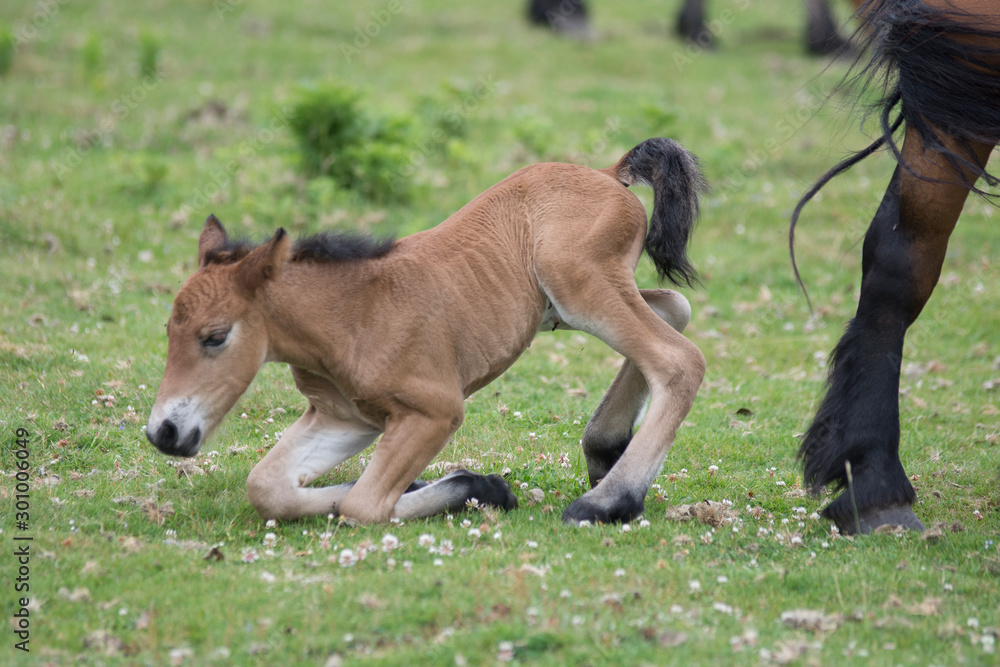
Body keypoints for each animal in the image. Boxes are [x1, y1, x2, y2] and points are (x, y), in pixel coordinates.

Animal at [145, 138, 708, 526]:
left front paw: (482, 487)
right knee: (673, 306)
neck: (350, 317)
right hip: (567, 307)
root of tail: (609, 173)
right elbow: (269, 487)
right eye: (168, 331)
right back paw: (604, 449)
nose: (163, 433)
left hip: (577, 284)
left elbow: (364, 505)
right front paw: (473, 483)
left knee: (679, 359)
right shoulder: (345, 417)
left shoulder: (435, 410)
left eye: (215, 336)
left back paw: (606, 501)